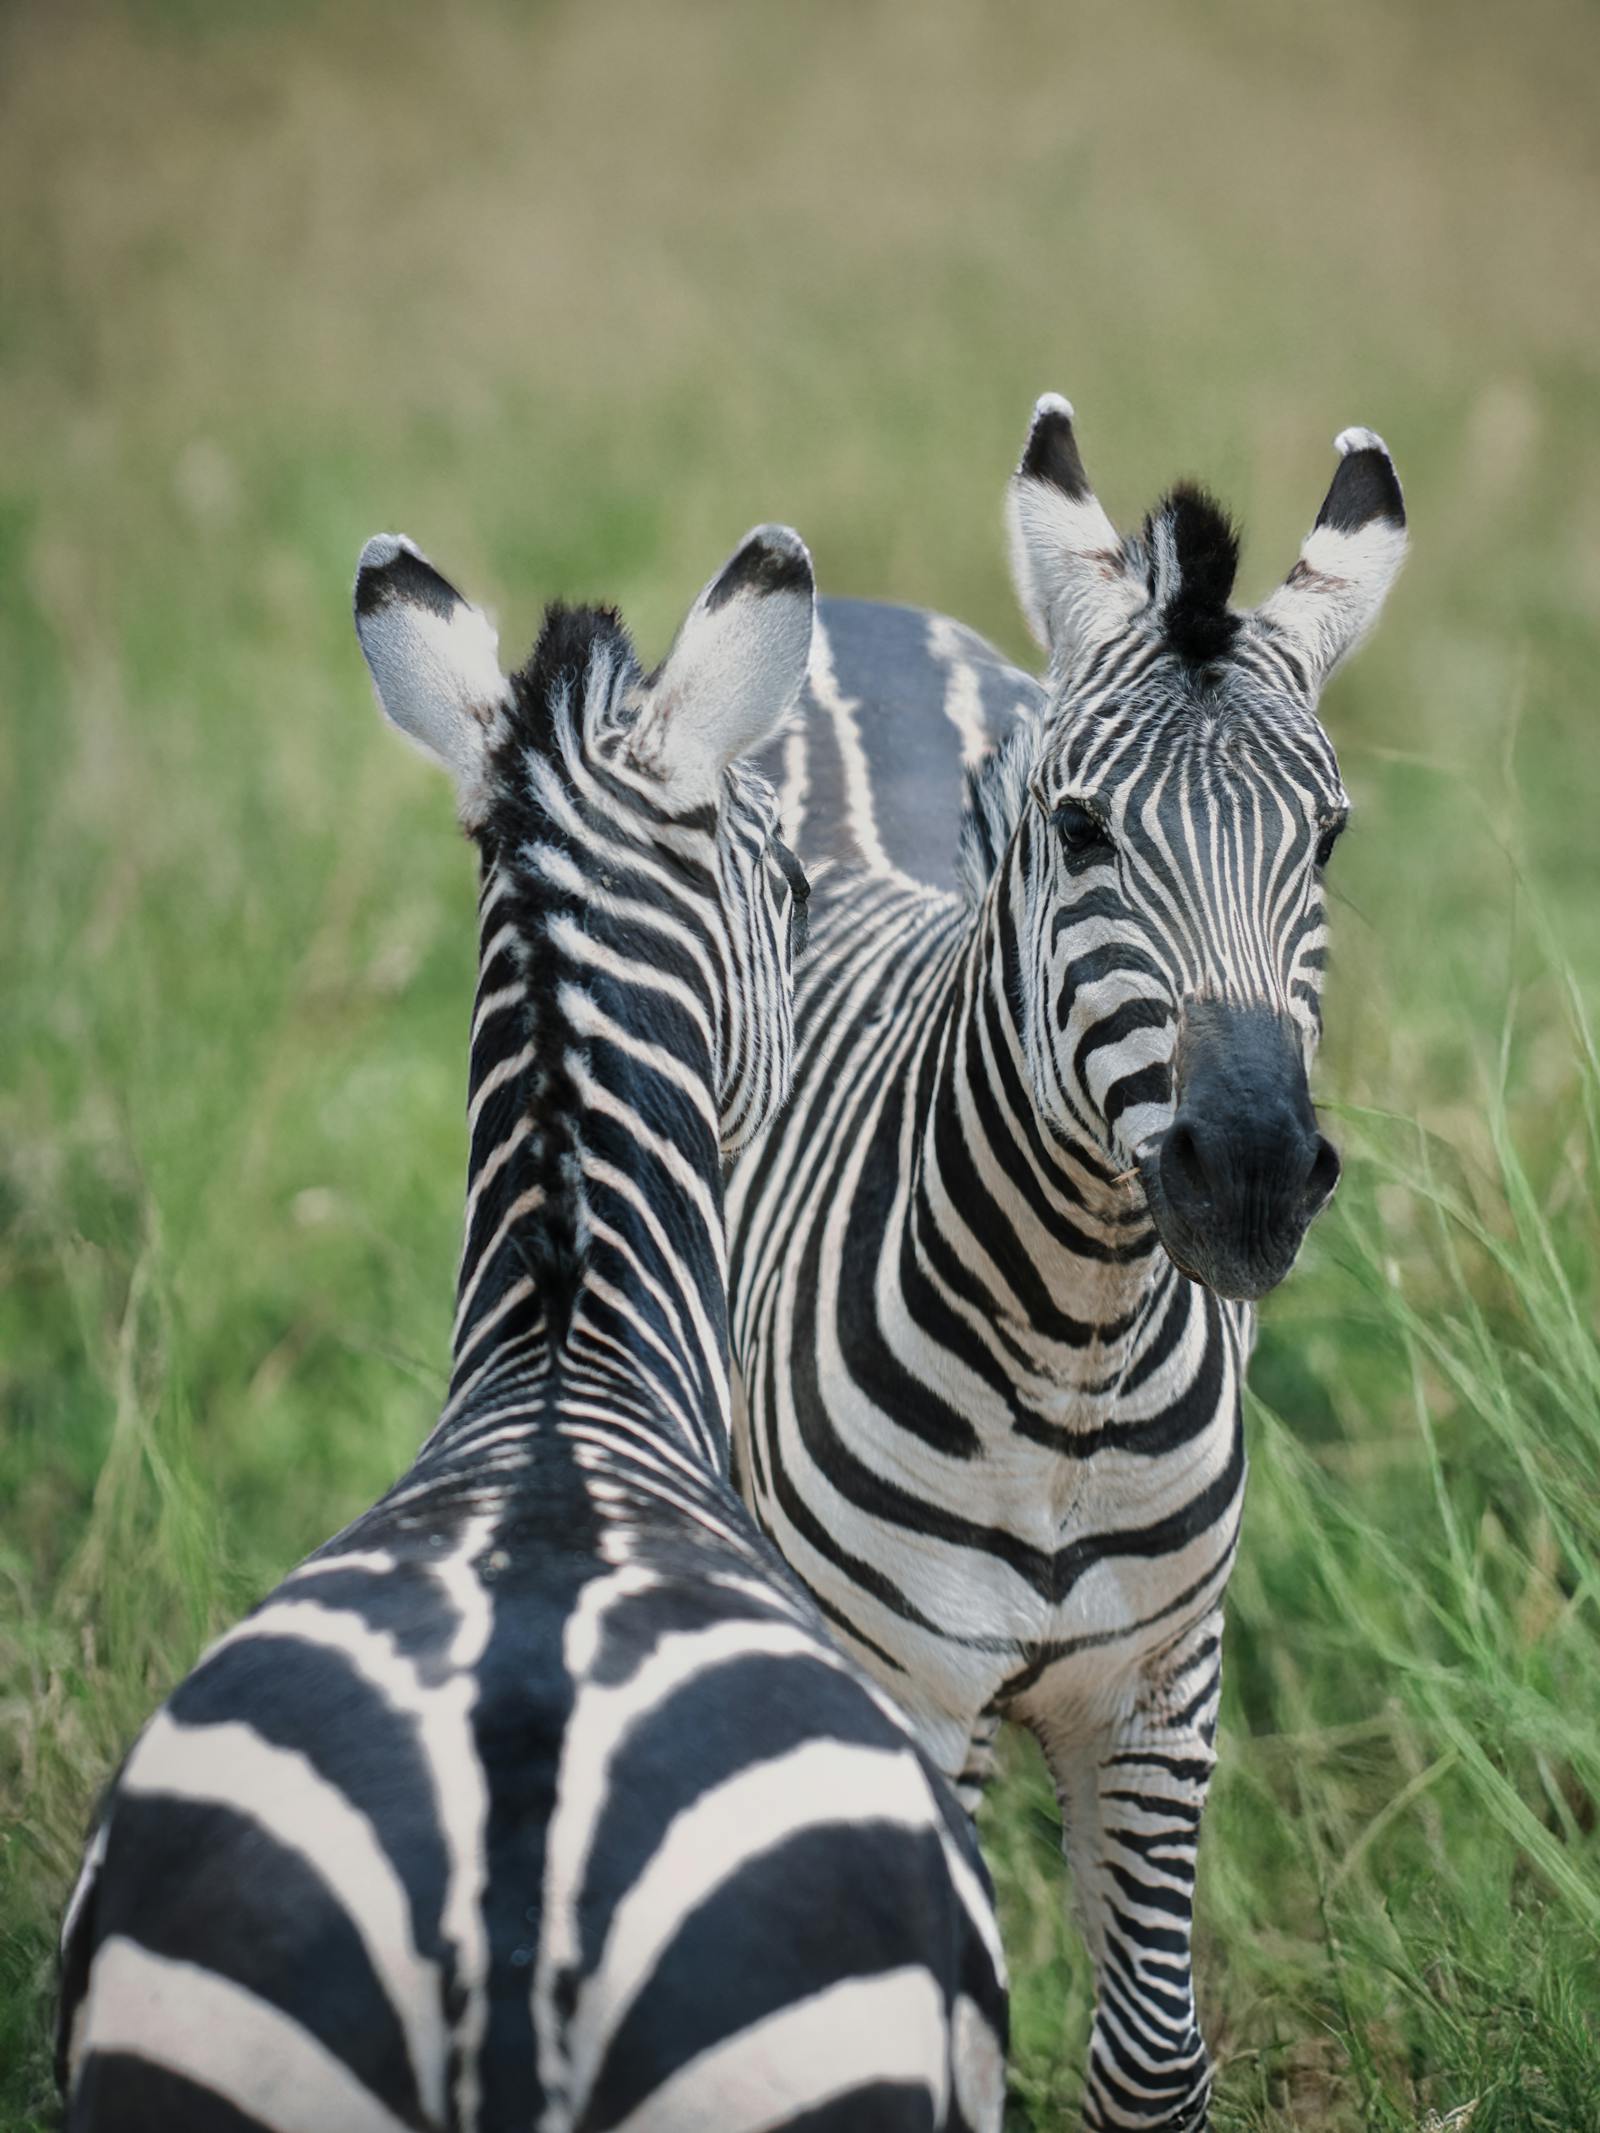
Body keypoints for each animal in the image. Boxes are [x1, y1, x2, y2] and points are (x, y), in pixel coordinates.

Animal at [727, 398, 1407, 2131]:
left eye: (1328, 840)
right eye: (1082, 829)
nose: (1248, 1171)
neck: (1074, 1341)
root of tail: (861, 613)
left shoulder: (1163, 1685)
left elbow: (1152, 2058)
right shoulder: (913, 1693)